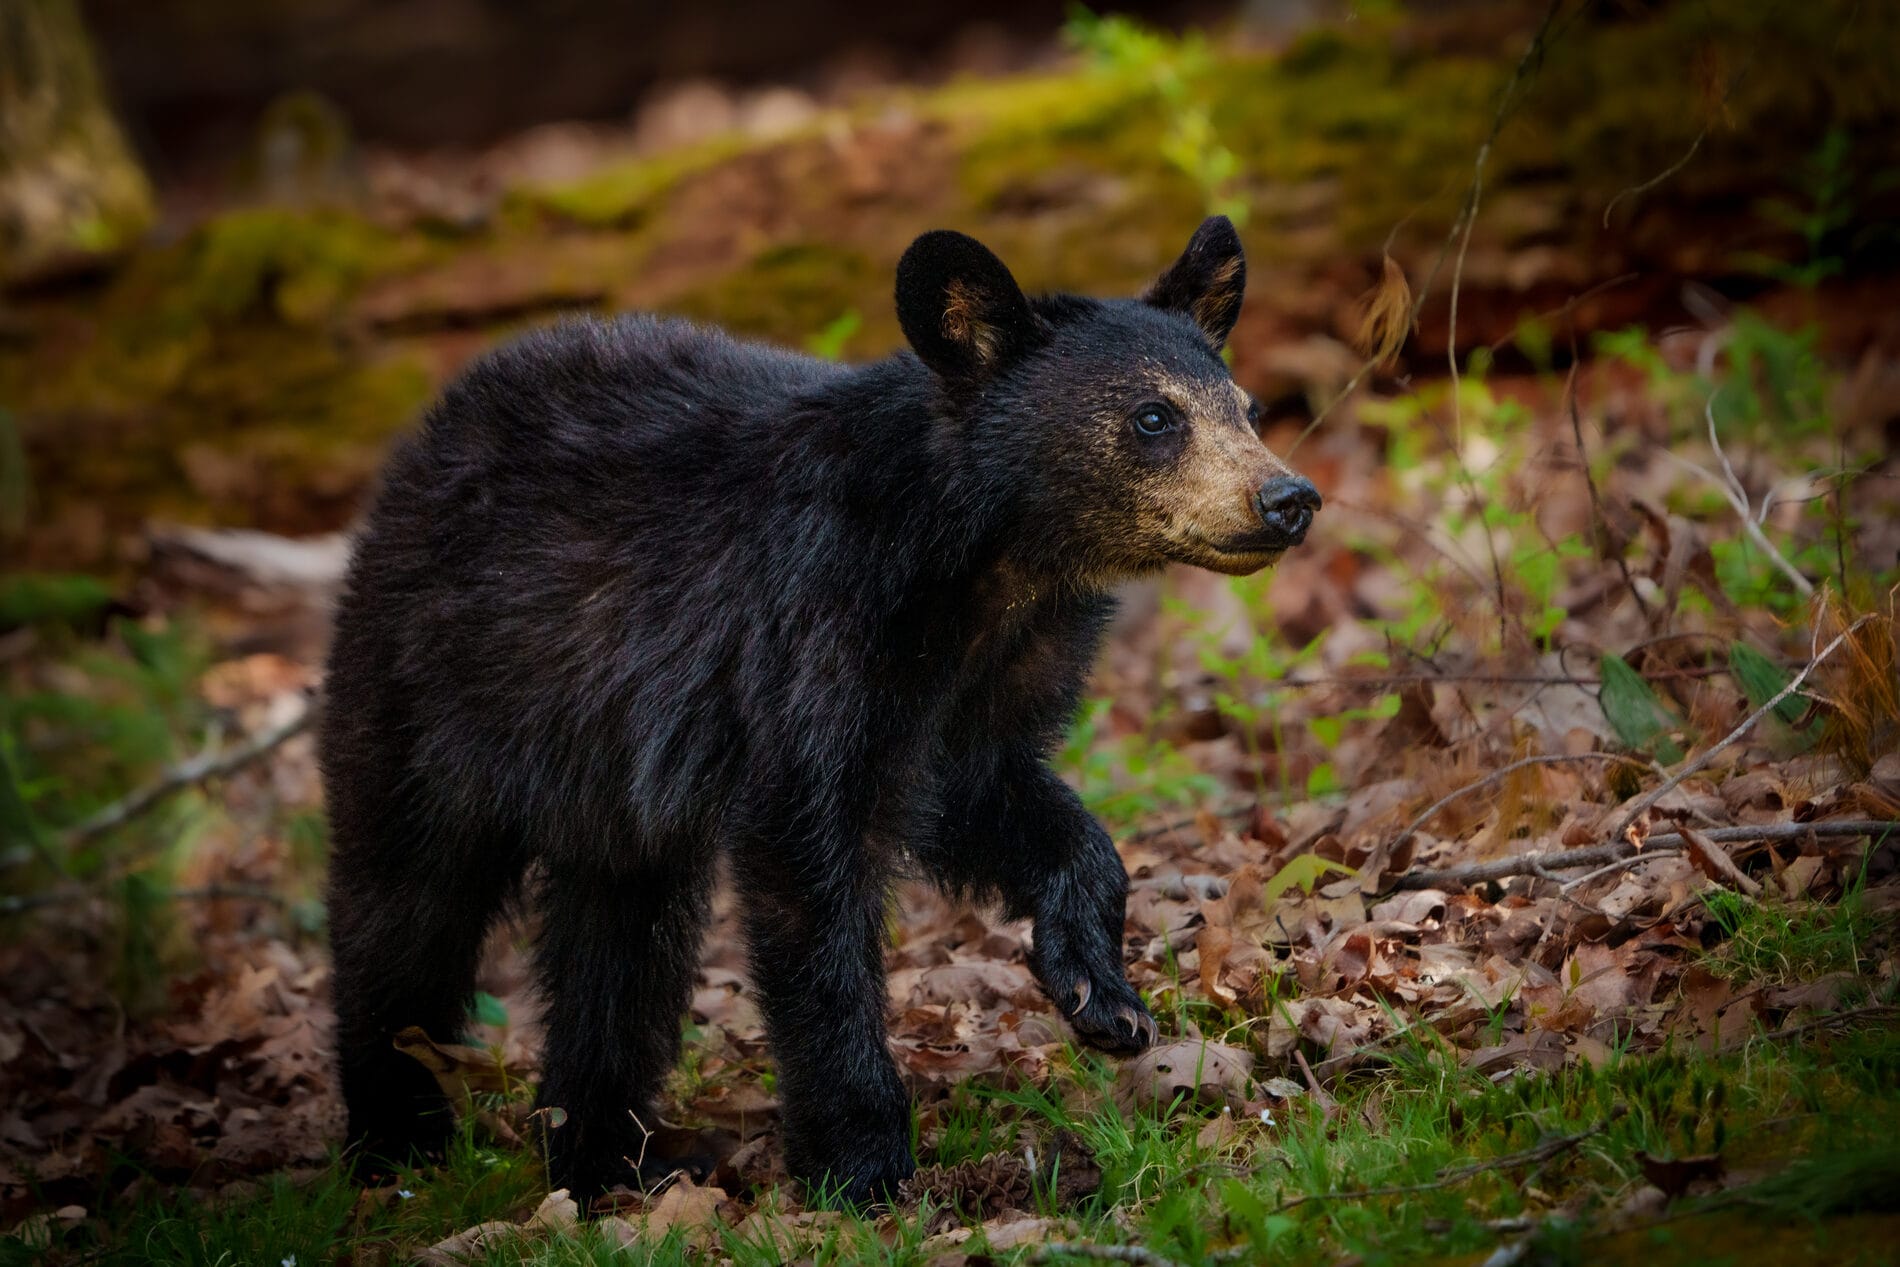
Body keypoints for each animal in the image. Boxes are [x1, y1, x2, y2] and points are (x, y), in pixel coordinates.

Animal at [319, 214, 1320, 1207]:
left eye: (1247, 409)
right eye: (1156, 416)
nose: (1289, 498)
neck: (979, 565)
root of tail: (417, 447)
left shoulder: (991, 679)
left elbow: (996, 799)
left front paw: (1102, 994)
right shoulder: (810, 632)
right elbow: (809, 868)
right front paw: (865, 1159)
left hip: (609, 779)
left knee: (623, 943)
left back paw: (609, 1160)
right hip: (433, 688)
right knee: (405, 904)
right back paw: (399, 1145)